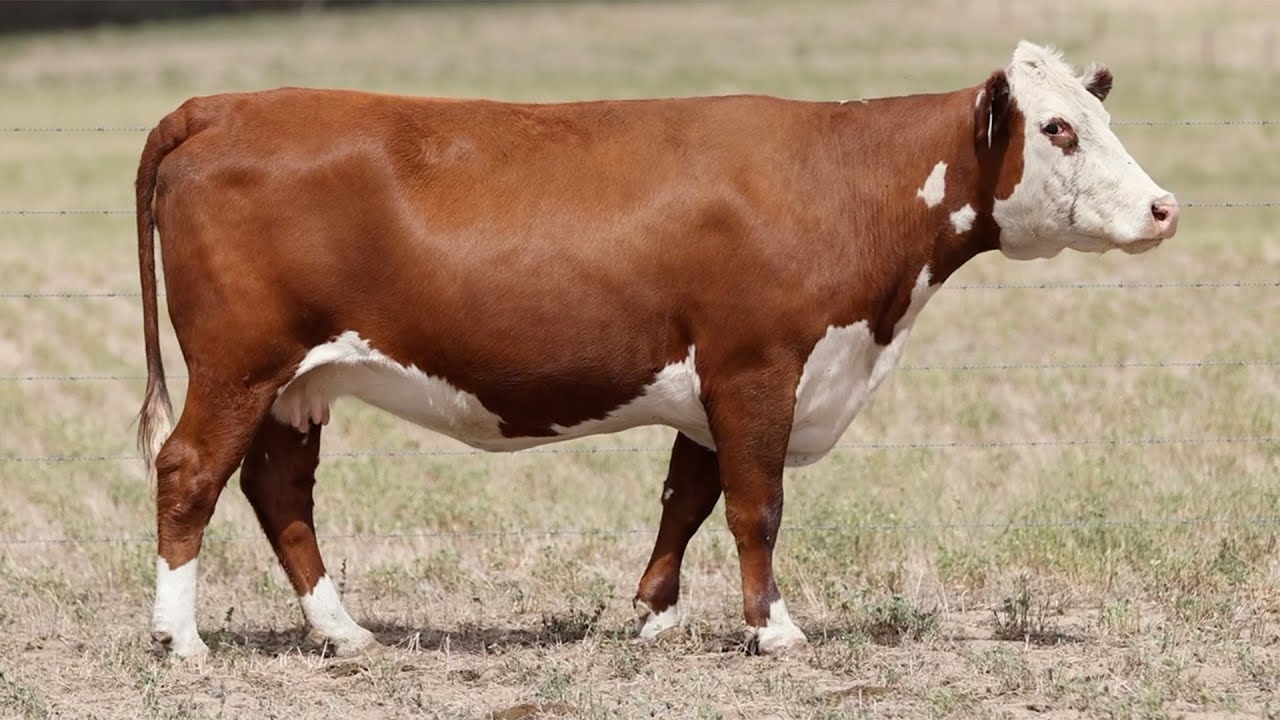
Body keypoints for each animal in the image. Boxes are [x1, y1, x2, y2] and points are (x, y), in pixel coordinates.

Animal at [134, 40, 1179, 660]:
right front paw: (775, 630)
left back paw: (344, 630)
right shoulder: (758, 368)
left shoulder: (712, 384)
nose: (1165, 207)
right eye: (1059, 129)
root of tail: (220, 105)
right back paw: (181, 640)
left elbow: (688, 497)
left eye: (1102, 120)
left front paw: (655, 616)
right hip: (238, 364)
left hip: (296, 381)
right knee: (189, 472)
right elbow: (757, 506)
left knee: (278, 490)